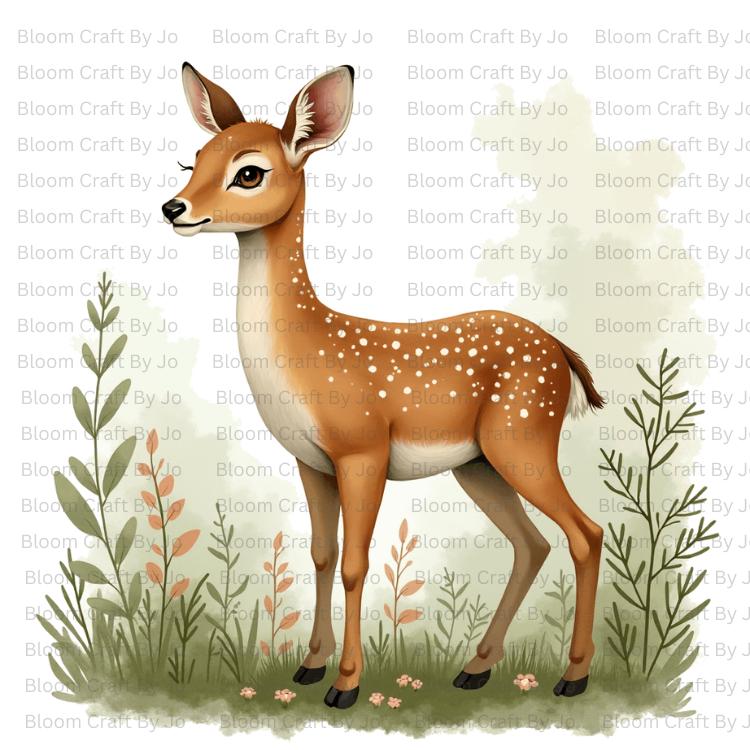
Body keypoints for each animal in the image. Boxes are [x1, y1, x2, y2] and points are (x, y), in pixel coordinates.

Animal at [162, 62, 605, 709]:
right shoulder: (311, 460)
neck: (308, 354)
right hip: (478, 463)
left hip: (522, 437)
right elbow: (321, 555)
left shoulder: (362, 449)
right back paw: (475, 669)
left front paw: (345, 684)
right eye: (192, 159)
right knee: (531, 544)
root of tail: (563, 353)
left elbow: (354, 563)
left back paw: (572, 677)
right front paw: (309, 666)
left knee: (585, 533)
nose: (173, 207)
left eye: (248, 171)